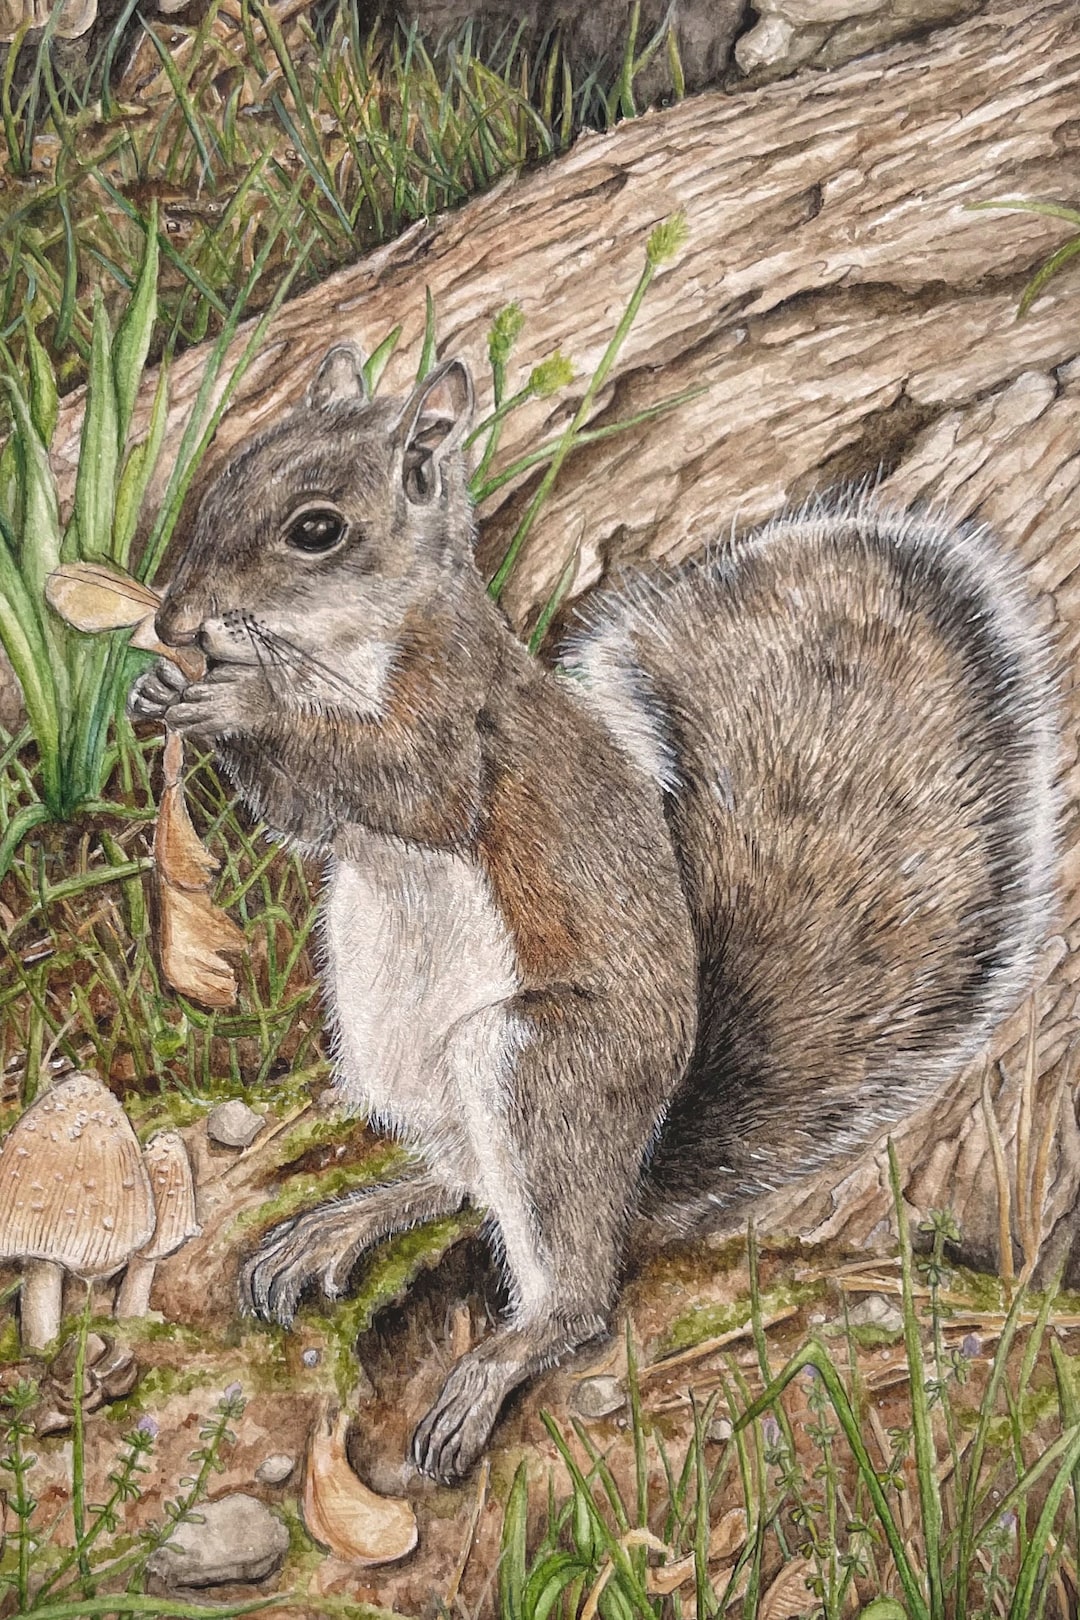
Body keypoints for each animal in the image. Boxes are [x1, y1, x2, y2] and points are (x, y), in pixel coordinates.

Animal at [130, 341, 1059, 1484]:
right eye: (228, 473)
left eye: (316, 529)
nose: (173, 622)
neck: (347, 649)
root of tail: (635, 1166)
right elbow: (308, 823)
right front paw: (166, 692)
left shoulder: (452, 724)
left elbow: (405, 785)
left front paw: (233, 700)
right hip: (394, 1051)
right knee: (463, 1182)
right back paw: (344, 1225)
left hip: (540, 1069)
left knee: (570, 1286)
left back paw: (494, 1364)